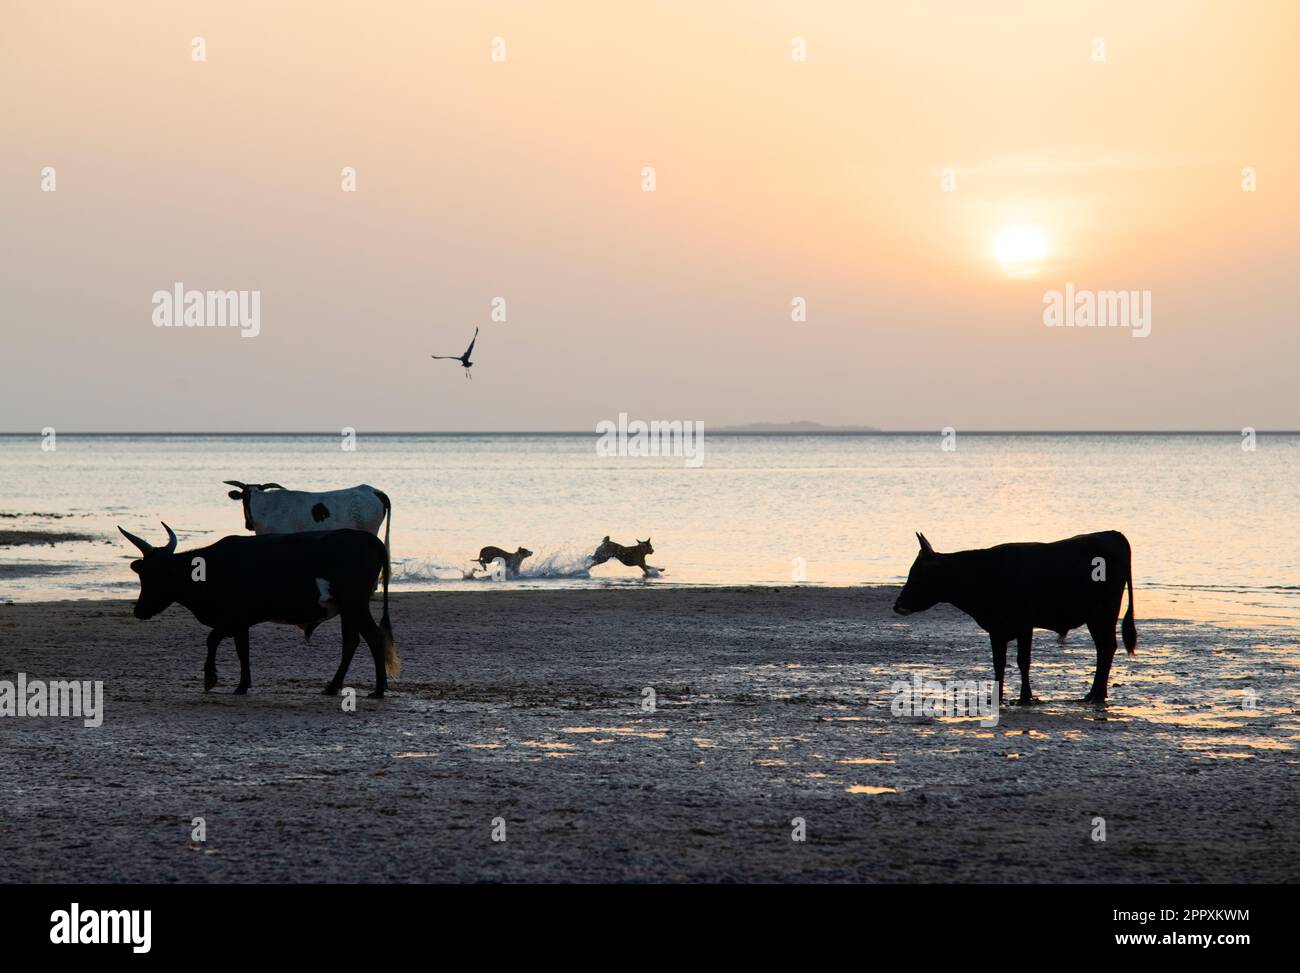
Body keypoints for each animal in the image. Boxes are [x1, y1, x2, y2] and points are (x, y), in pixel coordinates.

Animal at [119, 522, 398, 698]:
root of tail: (368, 538)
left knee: (373, 638)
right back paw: (332, 687)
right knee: (351, 642)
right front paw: (236, 683)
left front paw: (218, 680)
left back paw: (378, 690)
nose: (139, 610)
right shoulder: (238, 622)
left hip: (355, 605)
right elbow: (234, 646)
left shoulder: (234, 617)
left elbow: (220, 642)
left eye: (150, 574)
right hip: (348, 610)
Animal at [892, 530, 1136, 705]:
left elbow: (1023, 661)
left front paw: (1025, 697)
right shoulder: (996, 629)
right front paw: (997, 697)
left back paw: (1096, 694)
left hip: (1103, 613)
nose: (897, 604)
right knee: (1104, 648)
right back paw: (1093, 694)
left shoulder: (1024, 625)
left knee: (1106, 648)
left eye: (917, 574)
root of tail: (1113, 534)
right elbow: (998, 663)